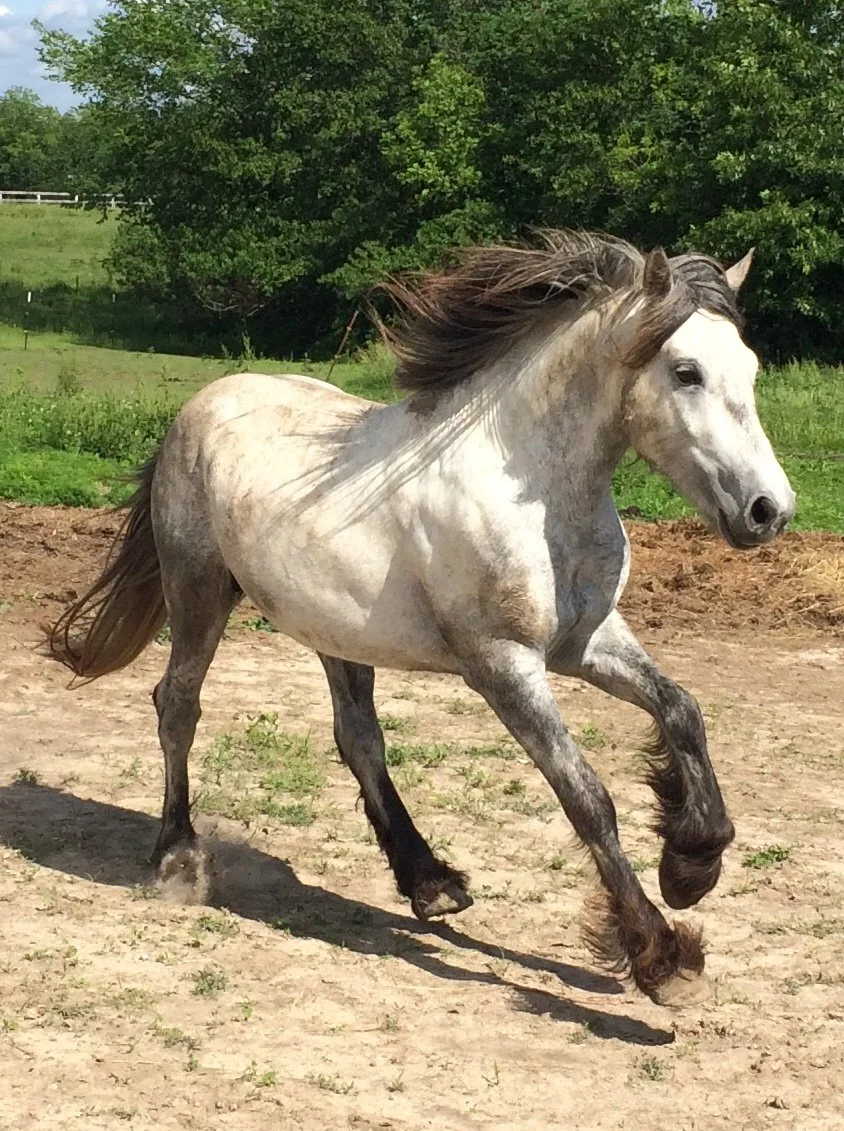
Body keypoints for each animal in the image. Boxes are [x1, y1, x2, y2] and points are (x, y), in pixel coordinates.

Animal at [49, 230, 795, 1006]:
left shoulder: (587, 641)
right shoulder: (502, 664)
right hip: (198, 591)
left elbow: (682, 709)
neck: (534, 493)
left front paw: (693, 861)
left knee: (357, 737)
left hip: (333, 628)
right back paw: (177, 859)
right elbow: (587, 797)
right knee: (179, 705)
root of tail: (199, 404)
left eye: (750, 367)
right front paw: (661, 953)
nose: (769, 511)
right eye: (686, 372)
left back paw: (429, 880)